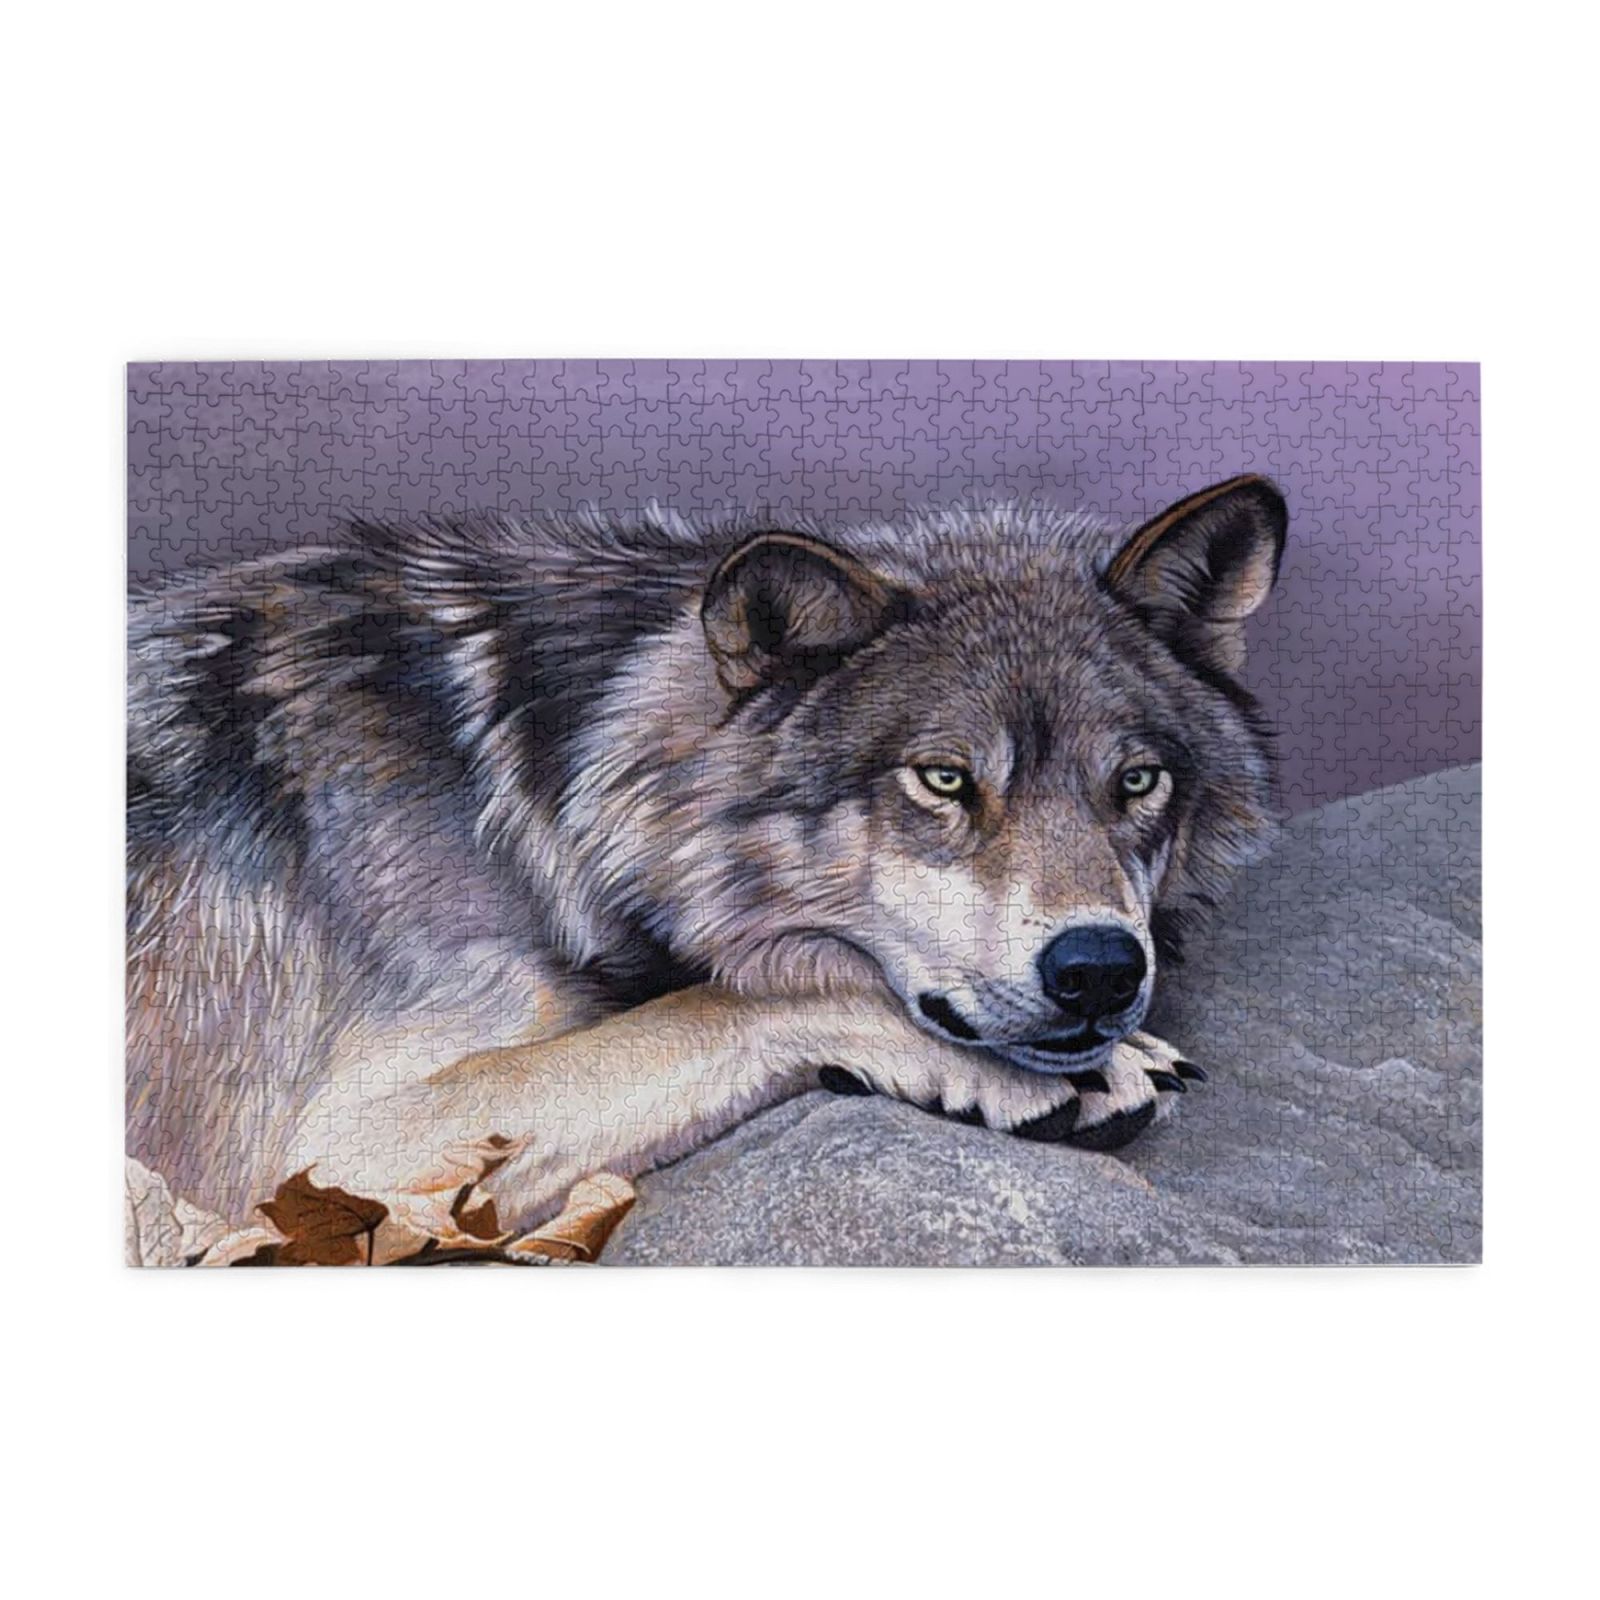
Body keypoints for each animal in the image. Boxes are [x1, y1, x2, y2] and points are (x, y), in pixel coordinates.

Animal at [127, 475, 1286, 1240]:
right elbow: (727, 1003)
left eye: (1136, 782)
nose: (1099, 970)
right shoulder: (321, 1158)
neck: (529, 786)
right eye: (945, 779)